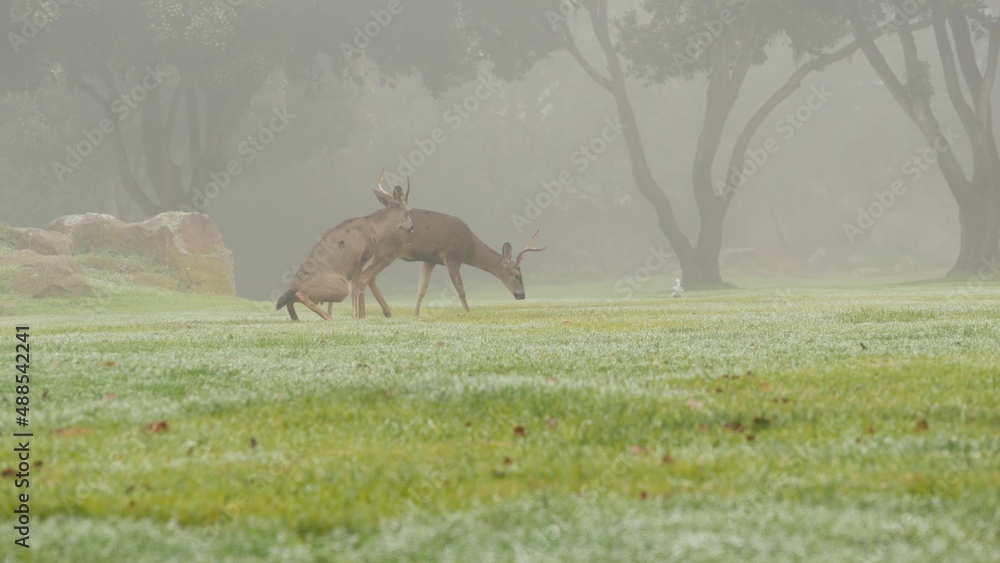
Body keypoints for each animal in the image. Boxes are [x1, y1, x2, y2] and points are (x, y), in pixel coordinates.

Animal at [276, 171, 413, 321]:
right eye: (410, 210)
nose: (411, 227)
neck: (374, 230)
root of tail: (294, 286)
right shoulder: (360, 258)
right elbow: (355, 289)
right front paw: (355, 317)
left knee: (290, 303)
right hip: (341, 287)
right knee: (299, 295)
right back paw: (329, 318)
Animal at [348, 210, 546, 317]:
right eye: (517, 275)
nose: (522, 295)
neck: (470, 248)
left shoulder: (430, 259)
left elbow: (422, 288)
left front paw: (414, 313)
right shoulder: (452, 257)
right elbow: (460, 288)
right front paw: (468, 311)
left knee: (369, 278)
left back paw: (387, 312)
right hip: (388, 251)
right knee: (364, 278)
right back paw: (363, 315)